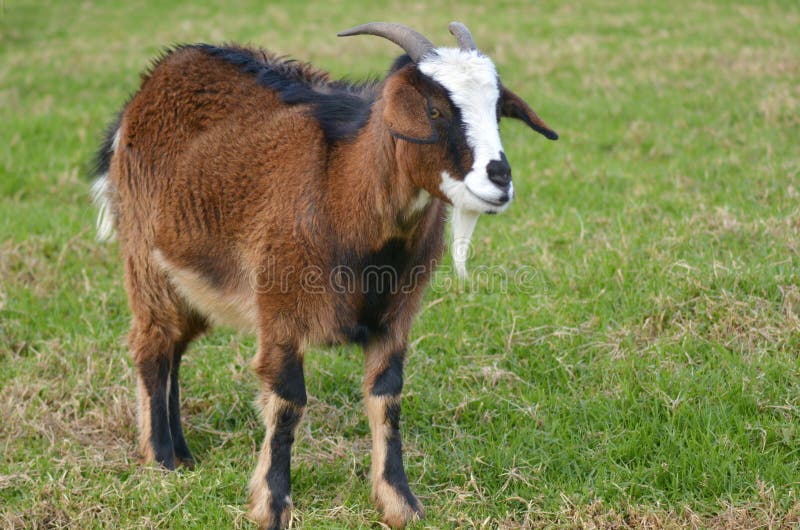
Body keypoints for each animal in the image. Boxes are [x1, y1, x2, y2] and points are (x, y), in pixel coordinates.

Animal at [92, 21, 557, 529]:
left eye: (497, 111)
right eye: (433, 109)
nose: (500, 177)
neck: (341, 188)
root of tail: (150, 84)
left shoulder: (395, 316)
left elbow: (387, 398)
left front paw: (400, 502)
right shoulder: (280, 308)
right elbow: (288, 401)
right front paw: (273, 505)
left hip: (191, 281)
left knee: (174, 347)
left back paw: (182, 452)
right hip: (146, 261)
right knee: (153, 345)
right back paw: (161, 459)